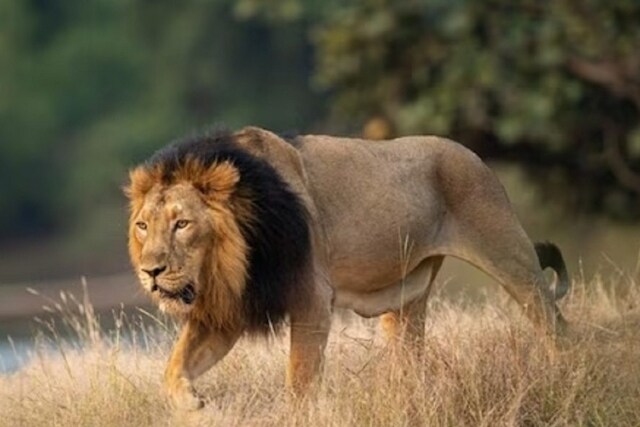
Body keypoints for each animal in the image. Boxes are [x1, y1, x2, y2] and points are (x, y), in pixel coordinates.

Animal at [125, 126, 569, 410]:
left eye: (182, 224)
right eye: (143, 226)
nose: (151, 271)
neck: (235, 260)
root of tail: (472, 154)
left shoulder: (311, 301)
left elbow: (300, 381)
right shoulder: (226, 314)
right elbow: (173, 368)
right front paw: (192, 404)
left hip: (510, 255)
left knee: (556, 325)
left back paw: (564, 375)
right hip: (407, 300)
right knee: (412, 360)